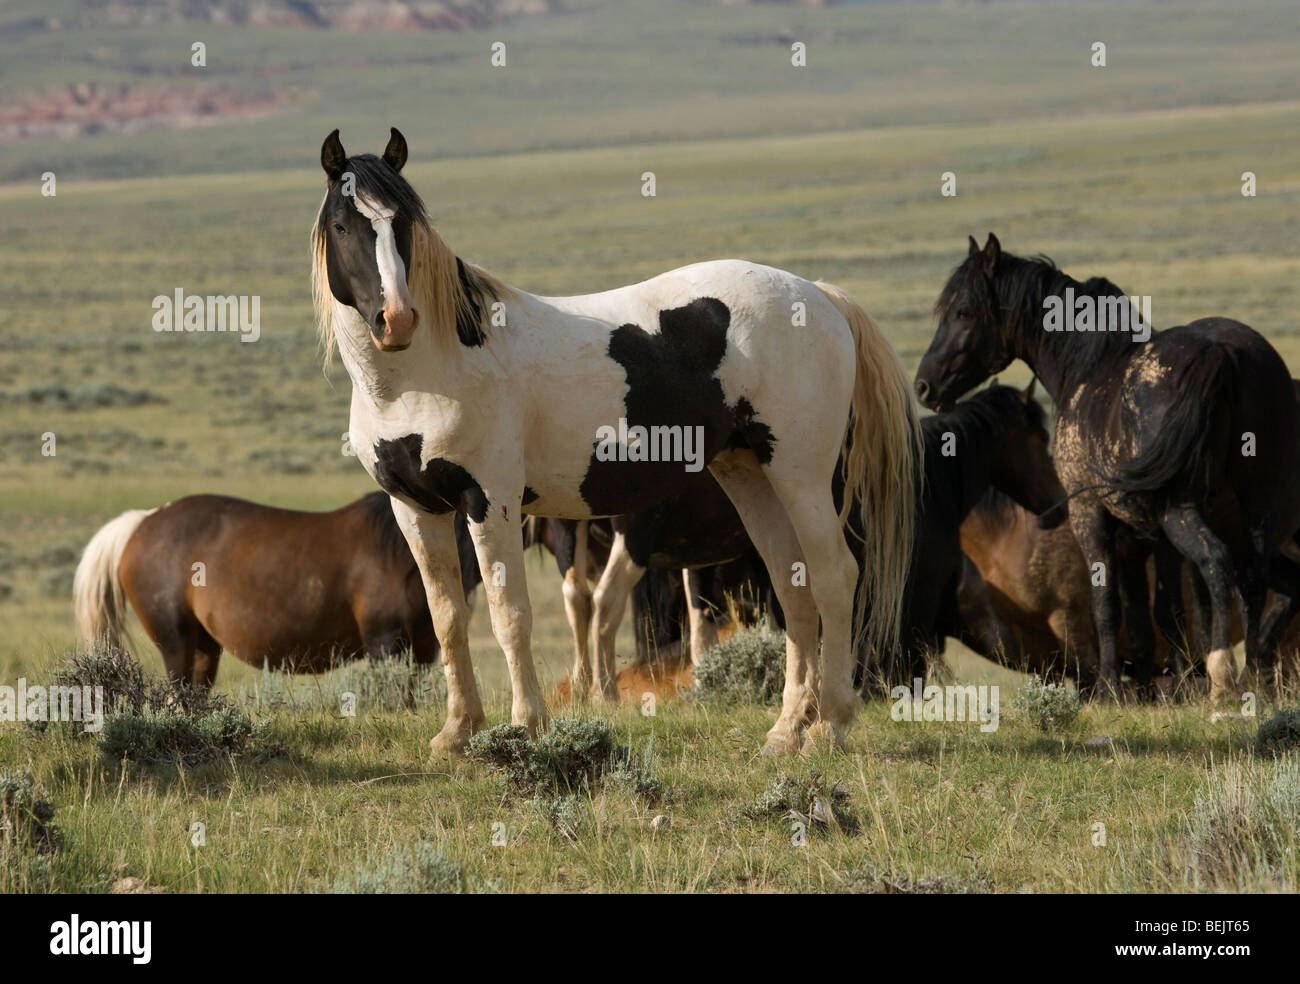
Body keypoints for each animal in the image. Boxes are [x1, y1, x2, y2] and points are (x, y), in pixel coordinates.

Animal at [73, 491, 479, 686]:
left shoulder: (423, 647)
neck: (399, 550)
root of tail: (143, 520)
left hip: (205, 643)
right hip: (175, 638)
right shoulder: (385, 642)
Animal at [311, 127, 921, 755]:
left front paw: (527, 724)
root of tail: (819, 296)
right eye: (342, 225)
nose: (397, 319)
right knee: (793, 585)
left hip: (799, 476)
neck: (429, 371)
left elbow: (510, 615)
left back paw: (829, 724)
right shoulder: (416, 507)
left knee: (834, 577)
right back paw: (785, 730)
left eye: (403, 222)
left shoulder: (490, 501)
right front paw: (457, 731)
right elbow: (449, 617)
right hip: (752, 477)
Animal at [915, 234, 1300, 699]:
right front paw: (1170, 683)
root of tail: (1221, 354)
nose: (924, 385)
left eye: (963, 312)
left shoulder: (1091, 516)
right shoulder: (1148, 536)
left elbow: (1107, 604)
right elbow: (1162, 608)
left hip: (1185, 512)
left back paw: (1223, 674)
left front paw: (1111, 688)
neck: (1090, 368)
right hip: (1257, 508)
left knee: (1217, 562)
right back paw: (1254, 675)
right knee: (1253, 579)